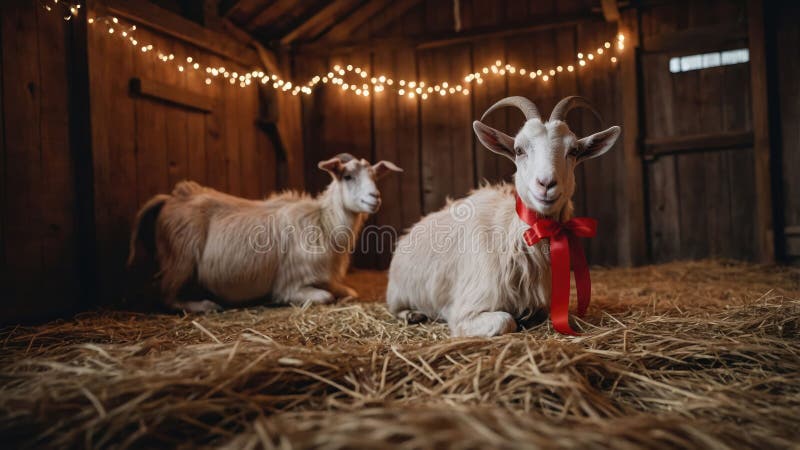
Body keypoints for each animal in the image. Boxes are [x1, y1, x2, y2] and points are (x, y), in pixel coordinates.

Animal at [129, 154, 402, 312]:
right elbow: (324, 297)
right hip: (180, 258)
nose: (374, 197)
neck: (324, 222)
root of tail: (171, 198)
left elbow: (350, 293)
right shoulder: (290, 284)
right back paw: (205, 305)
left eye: (375, 176)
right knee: (165, 294)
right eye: (347, 176)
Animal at [386, 96, 620, 337]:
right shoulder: (466, 311)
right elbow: (505, 321)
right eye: (518, 150)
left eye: (573, 150)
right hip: (397, 294)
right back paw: (412, 314)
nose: (546, 184)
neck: (510, 237)